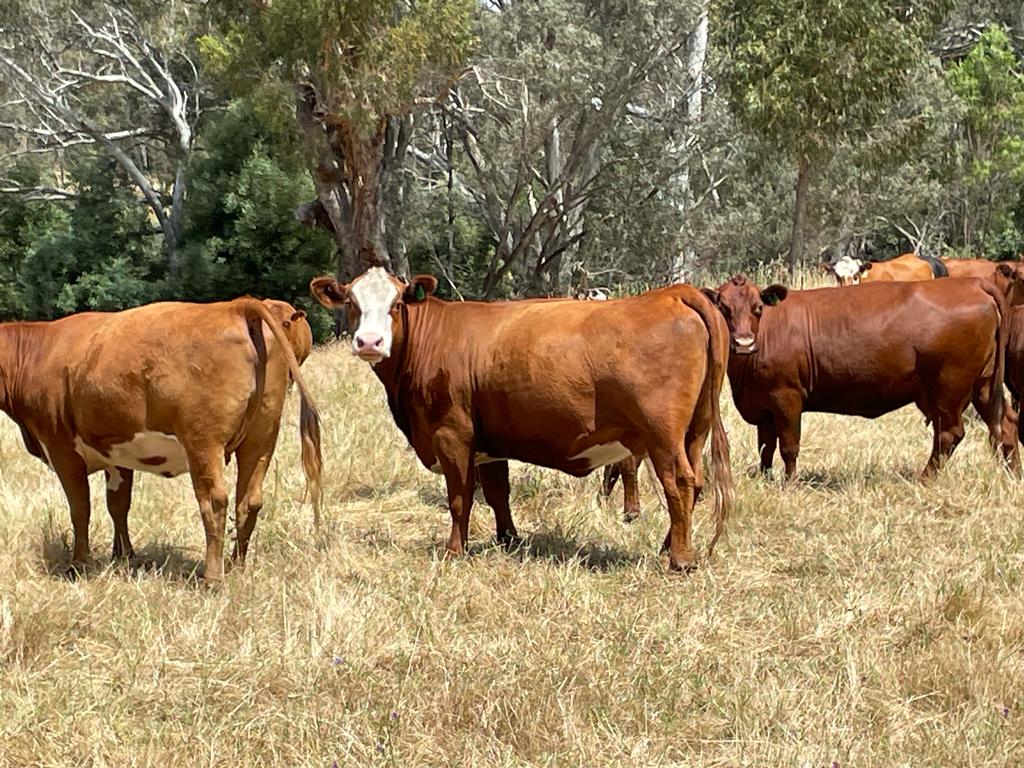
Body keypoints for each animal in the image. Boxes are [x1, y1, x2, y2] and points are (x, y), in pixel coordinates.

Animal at [0, 298, 323, 582]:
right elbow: (118, 505)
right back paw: (236, 567)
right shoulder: (117, 453)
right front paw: (123, 556)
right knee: (250, 501)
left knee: (214, 501)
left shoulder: (62, 449)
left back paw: (212, 578)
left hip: (203, 441)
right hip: (261, 438)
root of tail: (237, 305)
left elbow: (81, 510)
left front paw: (78, 566)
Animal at [310, 267, 733, 571]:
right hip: (696, 429)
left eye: (396, 303)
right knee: (696, 483)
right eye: (351, 302)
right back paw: (669, 546)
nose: (369, 342)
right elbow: (498, 493)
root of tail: (673, 293)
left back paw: (680, 559)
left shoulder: (452, 435)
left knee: (679, 483)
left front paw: (454, 551)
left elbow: (459, 498)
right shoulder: (489, 443)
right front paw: (508, 540)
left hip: (662, 433)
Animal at [700, 274, 1016, 480]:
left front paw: (789, 483)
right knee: (1004, 424)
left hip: (948, 388)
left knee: (950, 434)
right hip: (983, 384)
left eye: (758, 308)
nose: (743, 343)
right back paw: (1014, 474)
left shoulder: (787, 398)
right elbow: (766, 447)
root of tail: (972, 282)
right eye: (723, 308)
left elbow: (789, 446)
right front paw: (765, 479)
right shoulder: (763, 404)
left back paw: (925, 479)